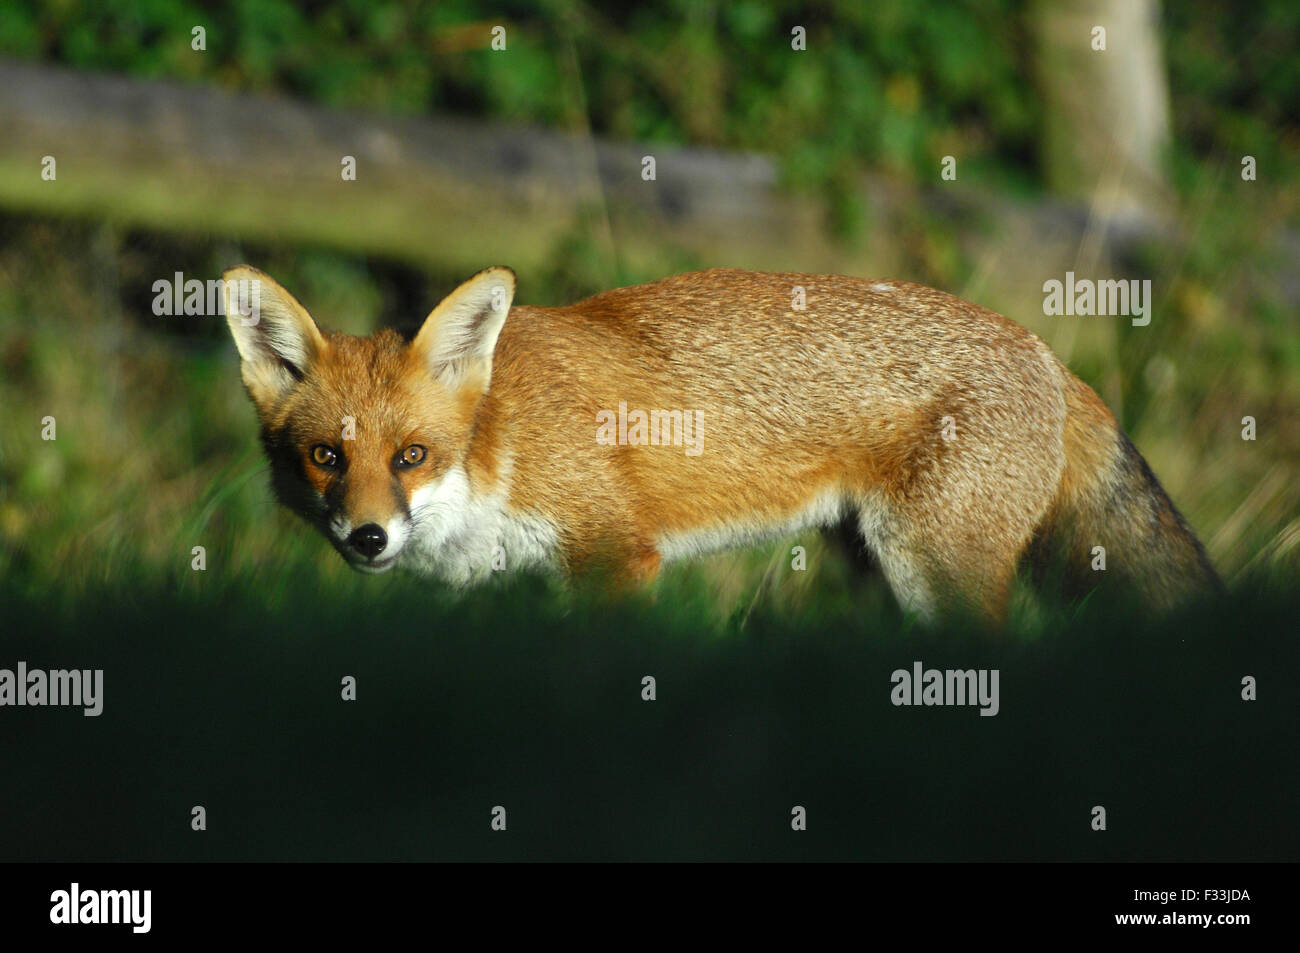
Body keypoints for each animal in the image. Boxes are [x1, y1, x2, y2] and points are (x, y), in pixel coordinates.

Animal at [221, 265, 1219, 621]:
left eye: (411, 457)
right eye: (326, 458)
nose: (368, 538)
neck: (500, 447)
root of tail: (1051, 356)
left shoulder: (614, 557)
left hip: (935, 571)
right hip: (877, 574)